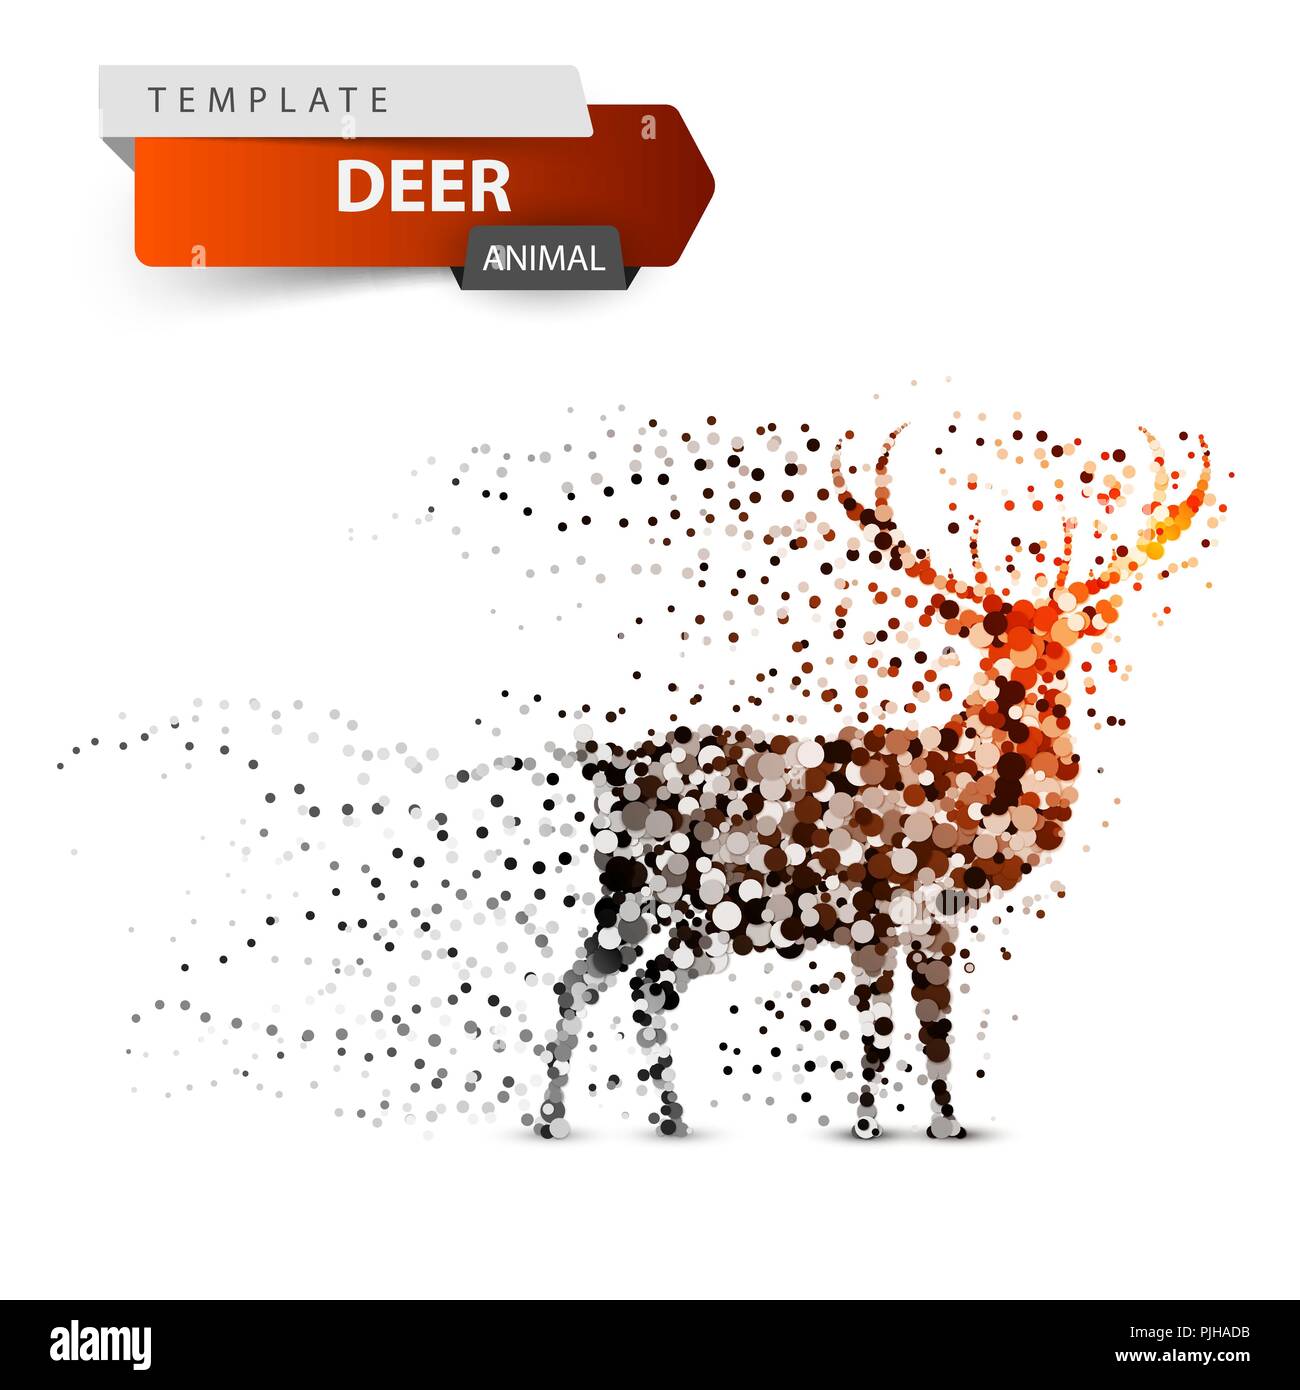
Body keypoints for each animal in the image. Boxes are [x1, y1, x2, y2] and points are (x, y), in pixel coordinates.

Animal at [534, 422, 1214, 1140]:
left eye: (1062, 637)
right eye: (991, 636)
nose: (1020, 694)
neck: (962, 813)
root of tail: (603, 765)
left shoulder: (937, 928)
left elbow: (938, 1030)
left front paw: (947, 1124)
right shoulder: (872, 915)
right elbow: (881, 1030)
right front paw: (865, 1124)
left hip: (689, 916)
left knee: (632, 985)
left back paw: (659, 1116)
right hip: (645, 890)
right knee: (596, 982)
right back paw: (567, 1117)